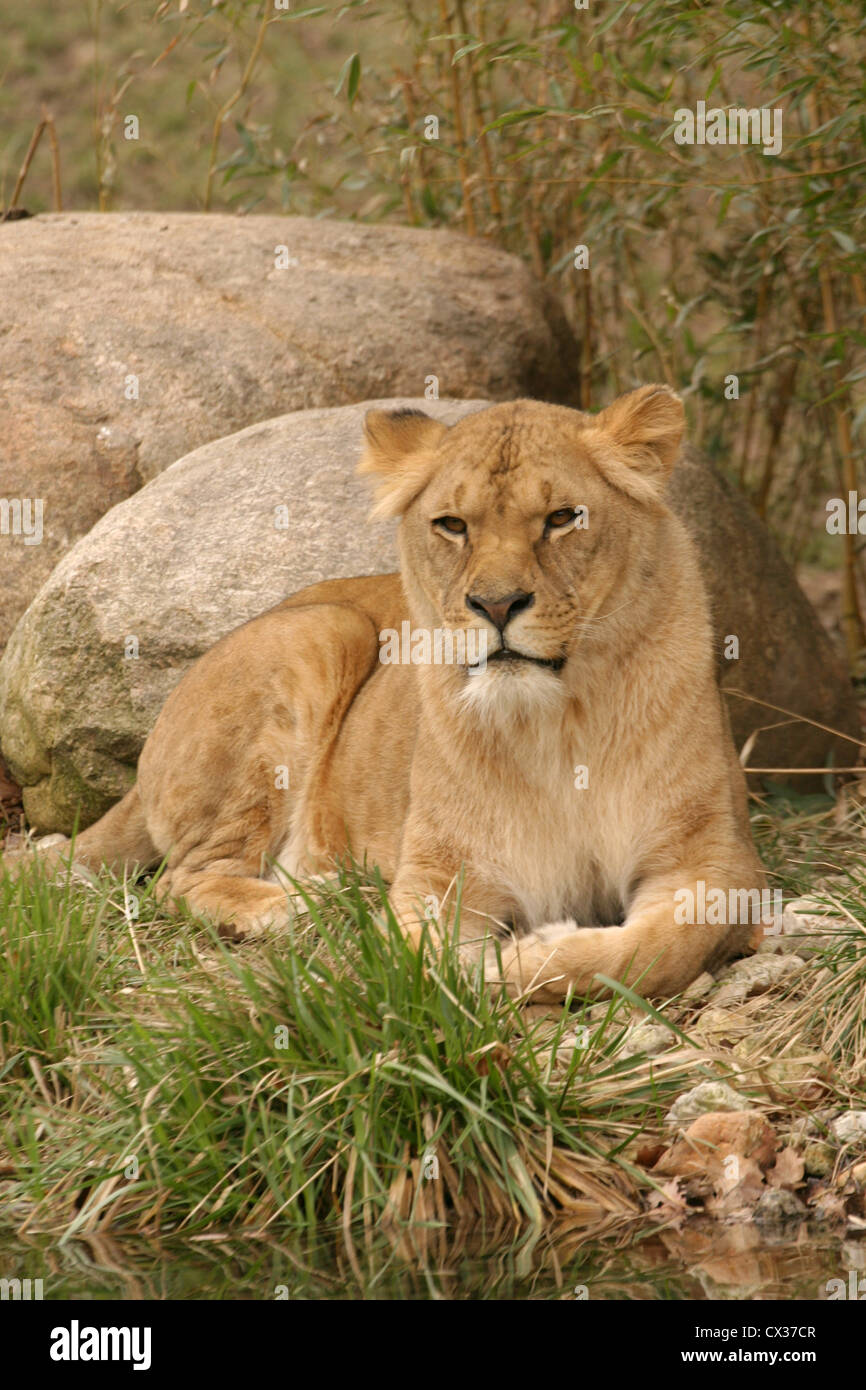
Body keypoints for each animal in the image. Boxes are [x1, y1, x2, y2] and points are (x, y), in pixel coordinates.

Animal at [6, 386, 767, 1001]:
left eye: (562, 518)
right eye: (452, 525)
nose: (495, 605)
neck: (555, 722)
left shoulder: (719, 863)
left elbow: (656, 950)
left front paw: (528, 956)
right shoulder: (436, 874)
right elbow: (420, 952)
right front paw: (474, 959)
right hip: (320, 633)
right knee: (182, 878)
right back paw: (313, 904)